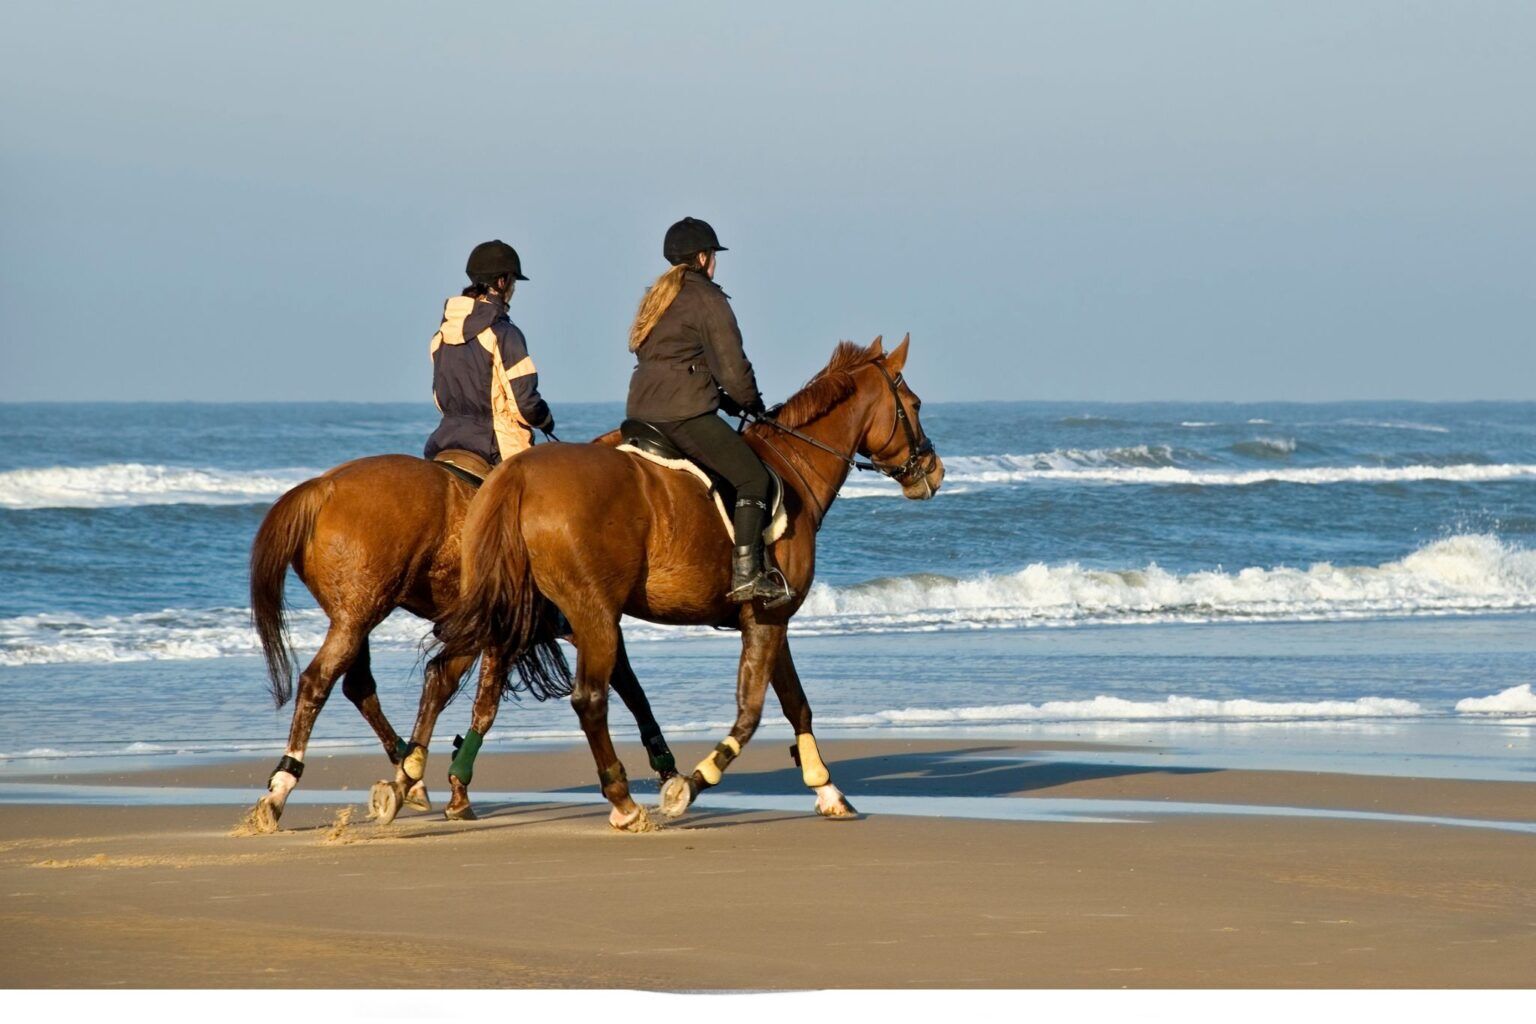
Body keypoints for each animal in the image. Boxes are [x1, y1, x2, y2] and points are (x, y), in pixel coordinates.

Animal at [245, 454, 679, 833]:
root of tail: (323, 487)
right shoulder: (578, 623)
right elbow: (624, 689)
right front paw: (667, 770)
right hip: (358, 615)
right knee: (319, 681)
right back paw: (282, 788)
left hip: (354, 617)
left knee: (357, 685)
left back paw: (407, 774)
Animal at [434, 335, 943, 831]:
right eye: (915, 404)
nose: (933, 470)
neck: (794, 465)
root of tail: (520, 474)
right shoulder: (767, 618)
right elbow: (750, 714)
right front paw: (691, 785)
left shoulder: (770, 621)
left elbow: (797, 703)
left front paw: (827, 790)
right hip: (592, 615)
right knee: (588, 699)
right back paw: (623, 804)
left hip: (524, 611)